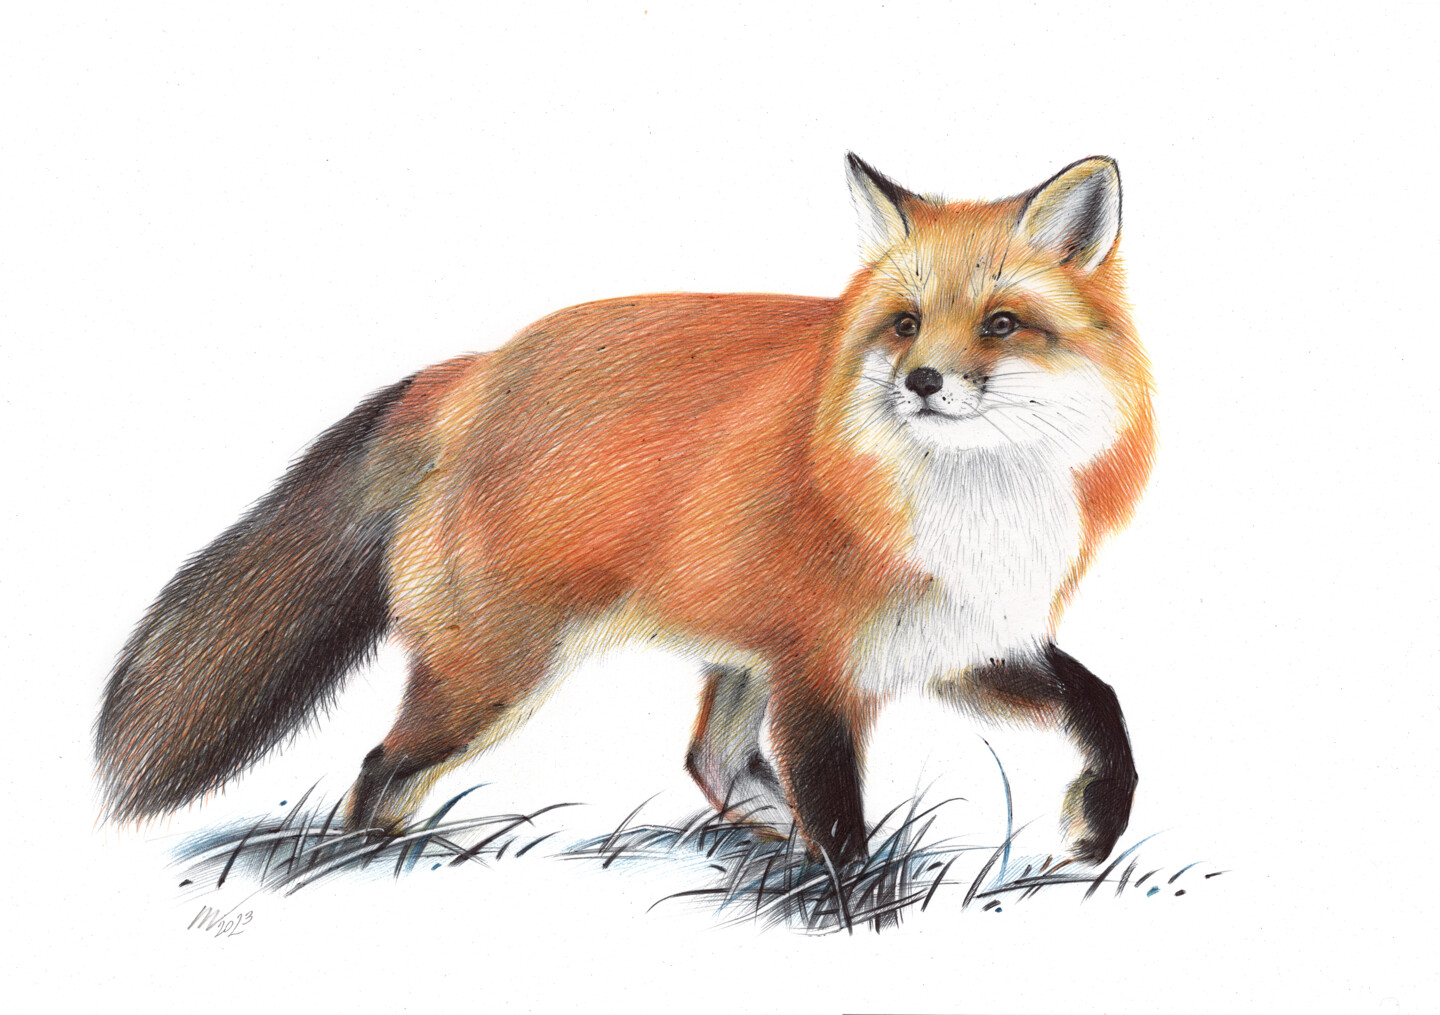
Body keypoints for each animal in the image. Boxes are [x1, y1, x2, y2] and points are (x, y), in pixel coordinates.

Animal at [96, 154, 1155, 867]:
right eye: (904, 324)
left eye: (1002, 324)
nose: (923, 381)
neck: (973, 506)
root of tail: (477, 371)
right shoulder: (825, 674)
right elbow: (846, 833)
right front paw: (860, 916)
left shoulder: (951, 641)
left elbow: (1102, 704)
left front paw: (1095, 826)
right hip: (495, 679)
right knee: (376, 770)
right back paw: (373, 865)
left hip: (731, 654)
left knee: (711, 759)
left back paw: (762, 831)